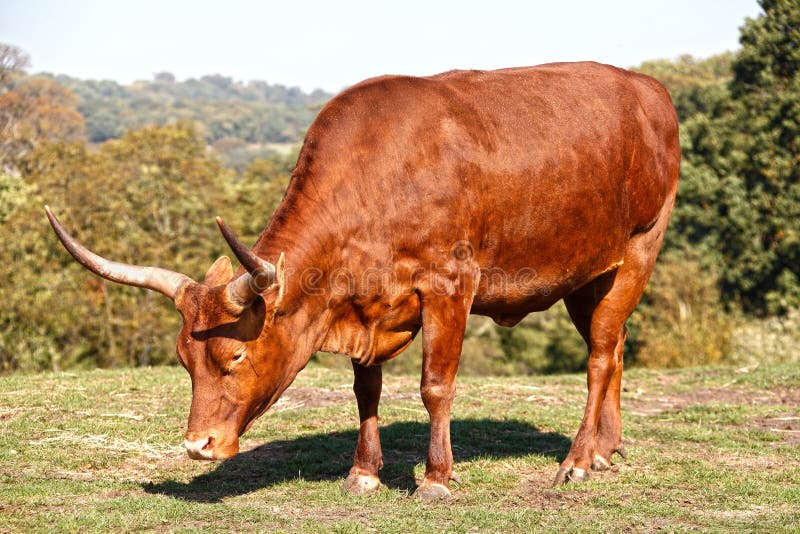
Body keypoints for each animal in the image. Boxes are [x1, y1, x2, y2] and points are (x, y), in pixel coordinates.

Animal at [46, 61, 679, 500]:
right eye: (184, 360)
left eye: (233, 357)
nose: (197, 446)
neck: (379, 176)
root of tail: (647, 87)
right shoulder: (363, 304)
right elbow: (365, 390)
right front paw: (364, 472)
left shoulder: (450, 285)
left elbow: (435, 385)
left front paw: (436, 479)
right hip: (586, 275)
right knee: (614, 346)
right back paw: (606, 449)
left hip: (638, 250)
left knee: (598, 355)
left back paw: (577, 460)